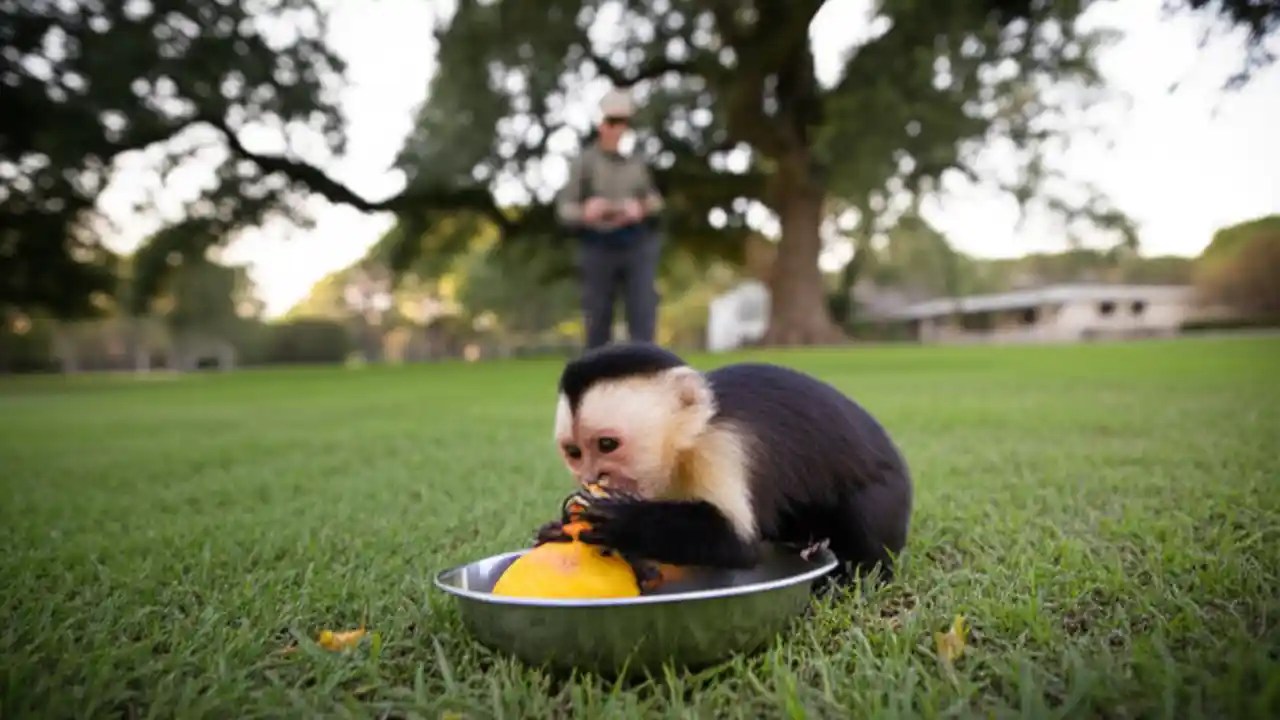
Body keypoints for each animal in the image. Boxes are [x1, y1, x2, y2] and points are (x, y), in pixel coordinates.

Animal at [535, 341, 913, 587]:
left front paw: (621, 520)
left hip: (891, 495)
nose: (590, 476)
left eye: (607, 445)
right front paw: (557, 529)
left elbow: (738, 544)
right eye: (574, 452)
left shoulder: (722, 446)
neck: (686, 441)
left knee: (864, 511)